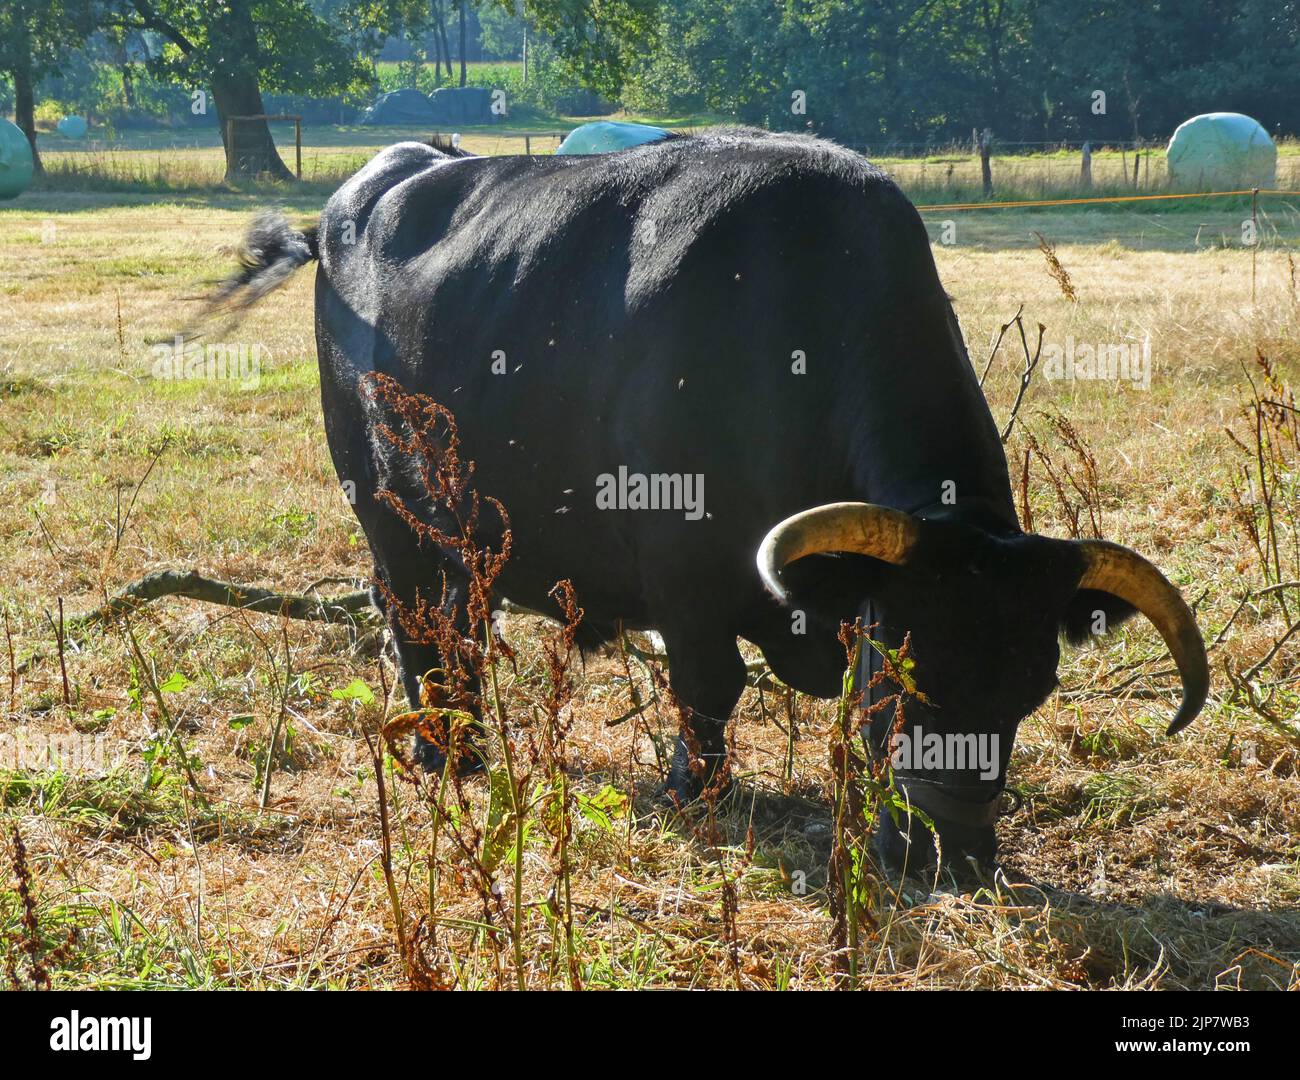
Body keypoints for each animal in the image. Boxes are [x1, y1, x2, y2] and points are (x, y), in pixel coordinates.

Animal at [204, 128, 1208, 871]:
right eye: (896, 673)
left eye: (1033, 688)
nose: (950, 854)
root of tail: (378, 181)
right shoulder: (683, 577)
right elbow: (709, 688)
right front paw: (697, 791)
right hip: (382, 513)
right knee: (409, 618)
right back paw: (439, 752)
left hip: (467, 534)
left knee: (459, 626)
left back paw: (467, 741)